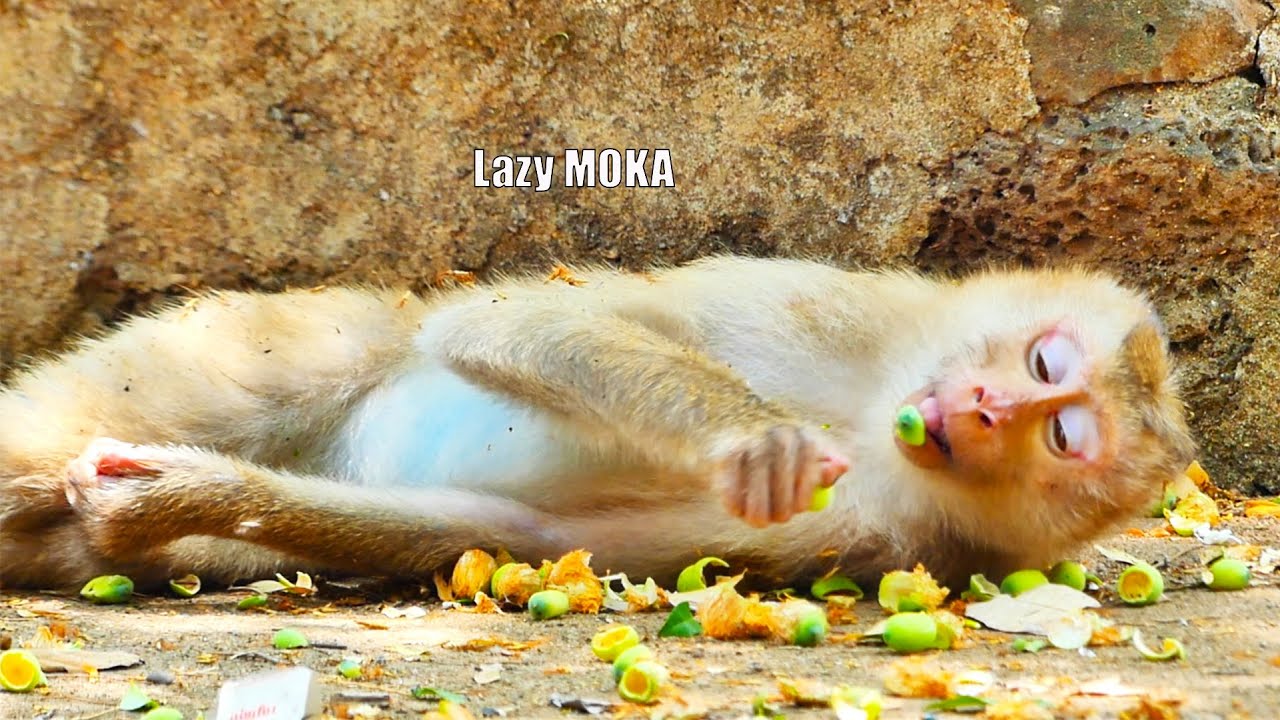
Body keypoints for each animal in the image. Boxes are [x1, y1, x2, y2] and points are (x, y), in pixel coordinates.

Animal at [0, 256, 1195, 592]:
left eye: (1063, 439)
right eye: (1043, 366)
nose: (990, 408)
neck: (870, 412)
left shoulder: (891, 538)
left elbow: (503, 532)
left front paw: (182, 496)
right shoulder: (819, 303)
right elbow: (514, 320)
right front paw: (750, 439)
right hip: (302, 338)